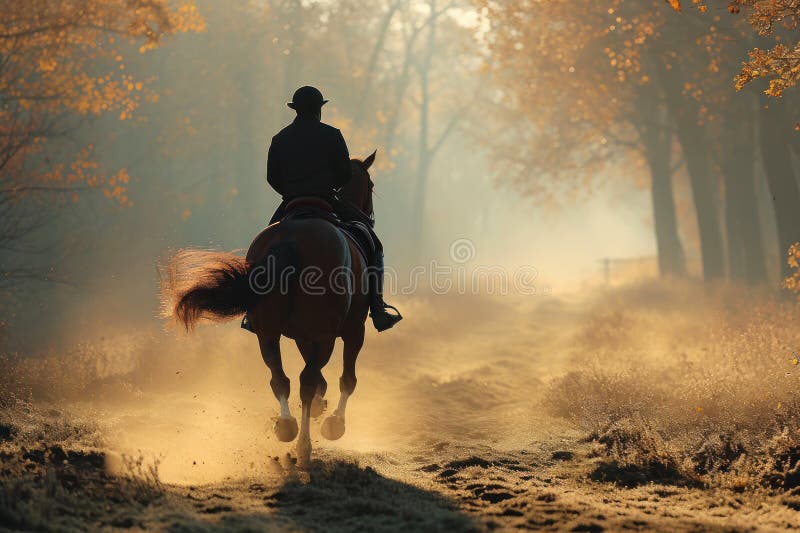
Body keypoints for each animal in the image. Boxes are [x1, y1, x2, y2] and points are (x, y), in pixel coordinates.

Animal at [160, 151, 377, 467]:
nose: (370, 215)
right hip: (323, 334)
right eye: (371, 186)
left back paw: (286, 426)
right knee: (305, 381)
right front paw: (334, 423)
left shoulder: (304, 335)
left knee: (281, 379)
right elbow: (347, 379)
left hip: (268, 332)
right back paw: (304, 445)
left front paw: (319, 409)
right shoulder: (352, 330)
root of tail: (293, 238)